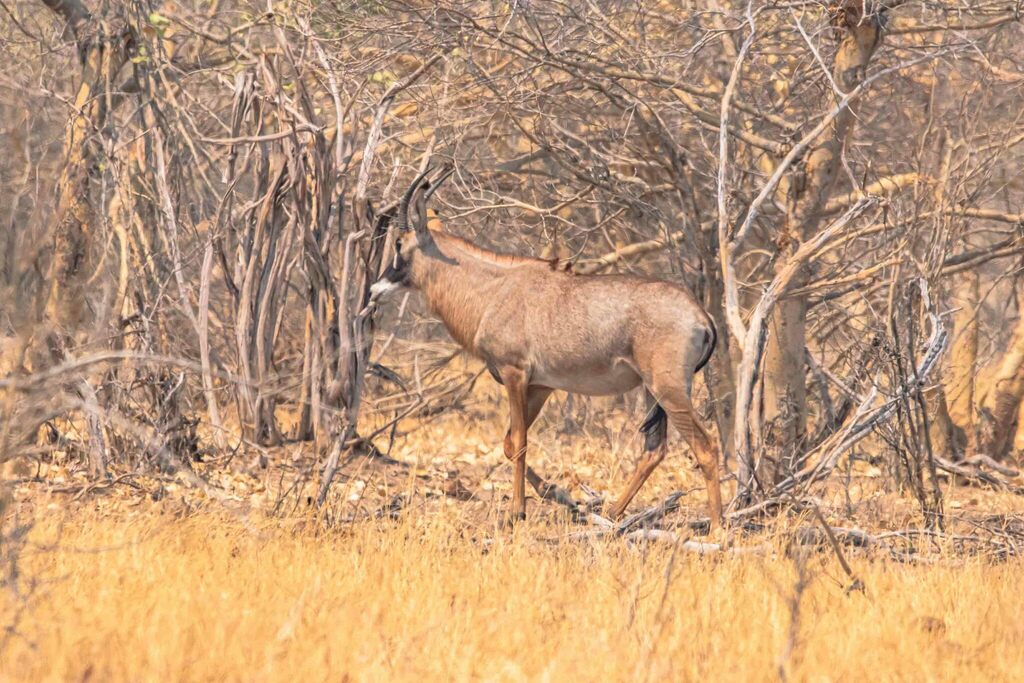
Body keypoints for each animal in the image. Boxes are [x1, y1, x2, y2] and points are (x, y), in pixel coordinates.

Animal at [368, 165, 723, 532]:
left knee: (706, 445)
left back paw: (717, 527)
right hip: (653, 391)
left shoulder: (514, 373)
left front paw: (517, 512)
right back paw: (611, 517)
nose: (374, 290)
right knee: (654, 449)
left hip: (668, 388)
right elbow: (509, 443)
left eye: (399, 244)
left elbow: (520, 442)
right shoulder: (541, 385)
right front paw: (558, 493)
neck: (494, 290)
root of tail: (701, 316)